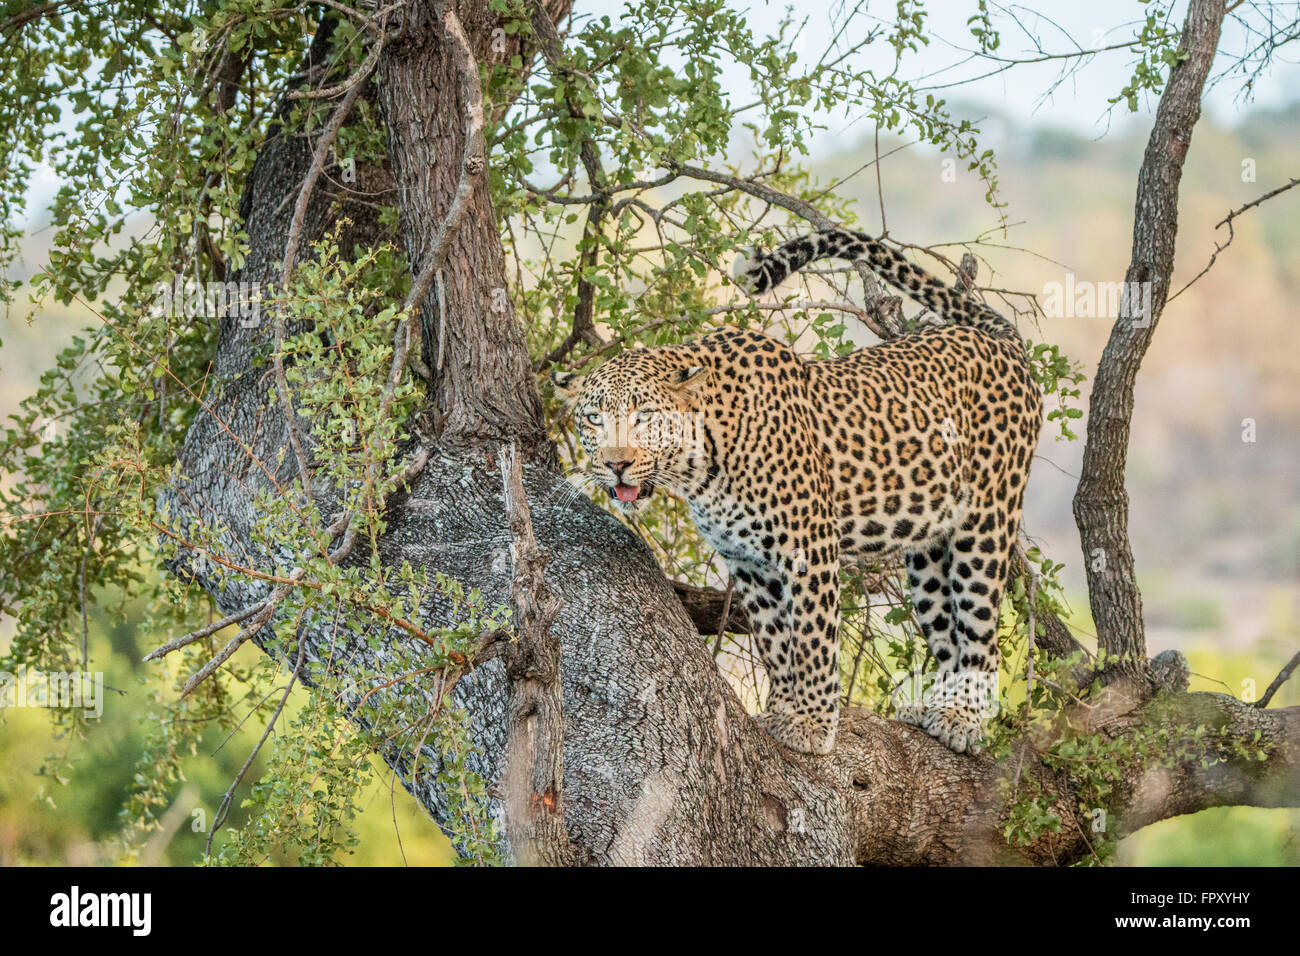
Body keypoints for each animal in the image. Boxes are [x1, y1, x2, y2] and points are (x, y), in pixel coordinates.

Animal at [552, 227, 1042, 756]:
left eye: (644, 416)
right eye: (593, 418)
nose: (616, 464)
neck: (703, 463)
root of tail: (998, 338)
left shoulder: (809, 546)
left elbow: (811, 638)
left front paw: (811, 723)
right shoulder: (748, 562)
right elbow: (774, 641)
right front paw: (782, 708)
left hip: (985, 521)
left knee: (980, 631)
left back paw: (962, 718)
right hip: (928, 543)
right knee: (946, 627)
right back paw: (931, 709)